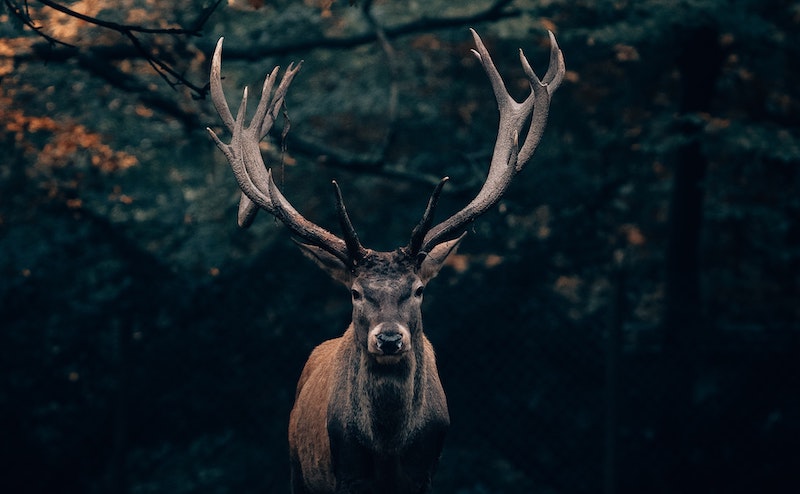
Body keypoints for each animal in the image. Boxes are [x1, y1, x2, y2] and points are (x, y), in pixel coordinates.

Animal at [207, 28, 564, 494]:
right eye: (356, 293)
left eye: (419, 289)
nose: (390, 339)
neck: (389, 451)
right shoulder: (345, 474)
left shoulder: (425, 473)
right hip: (297, 469)